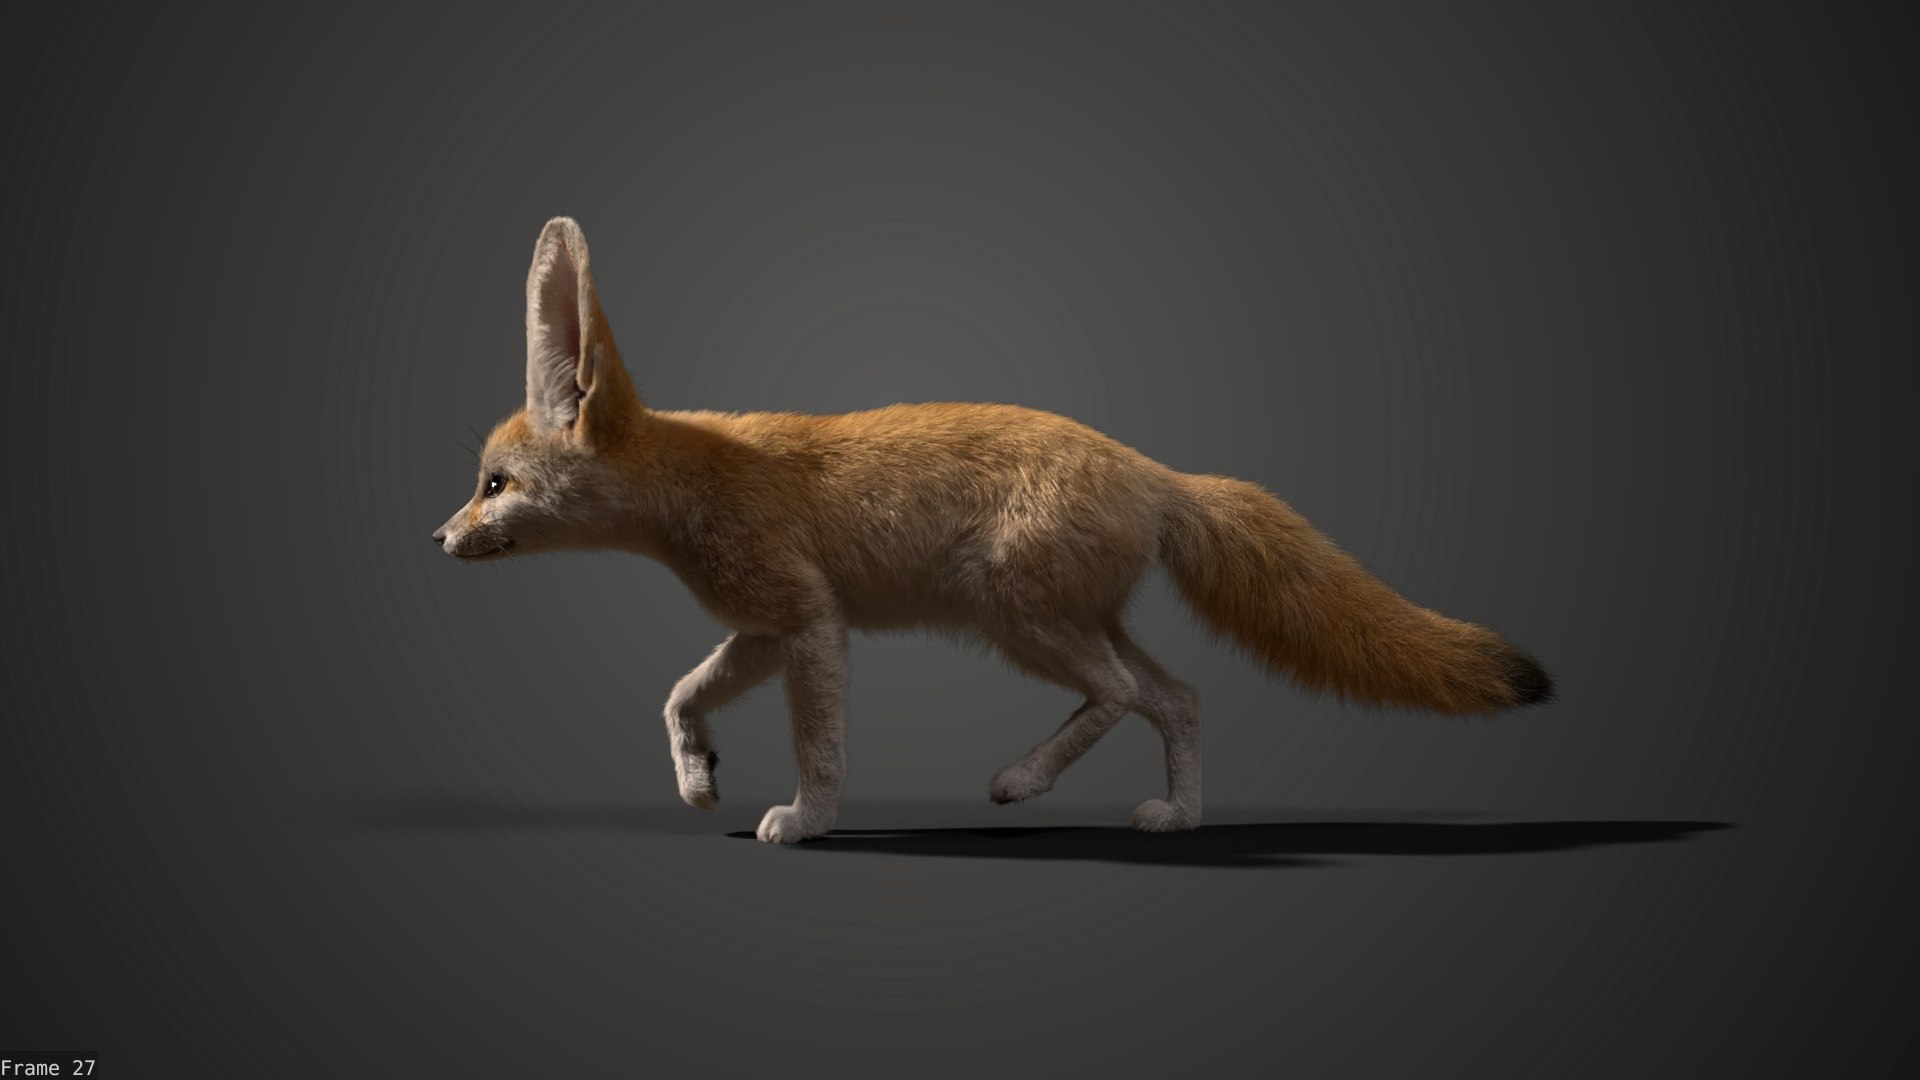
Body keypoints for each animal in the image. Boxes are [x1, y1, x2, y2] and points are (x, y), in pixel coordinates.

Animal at [433, 217, 1554, 843]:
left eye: (493, 485)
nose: (437, 541)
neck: (696, 481)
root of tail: (1155, 470)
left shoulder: (811, 625)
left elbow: (820, 749)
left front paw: (807, 824)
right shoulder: (762, 627)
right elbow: (676, 696)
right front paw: (697, 777)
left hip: (1011, 615)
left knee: (1122, 695)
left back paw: (1020, 782)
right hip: (1068, 620)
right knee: (1179, 697)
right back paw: (1179, 820)